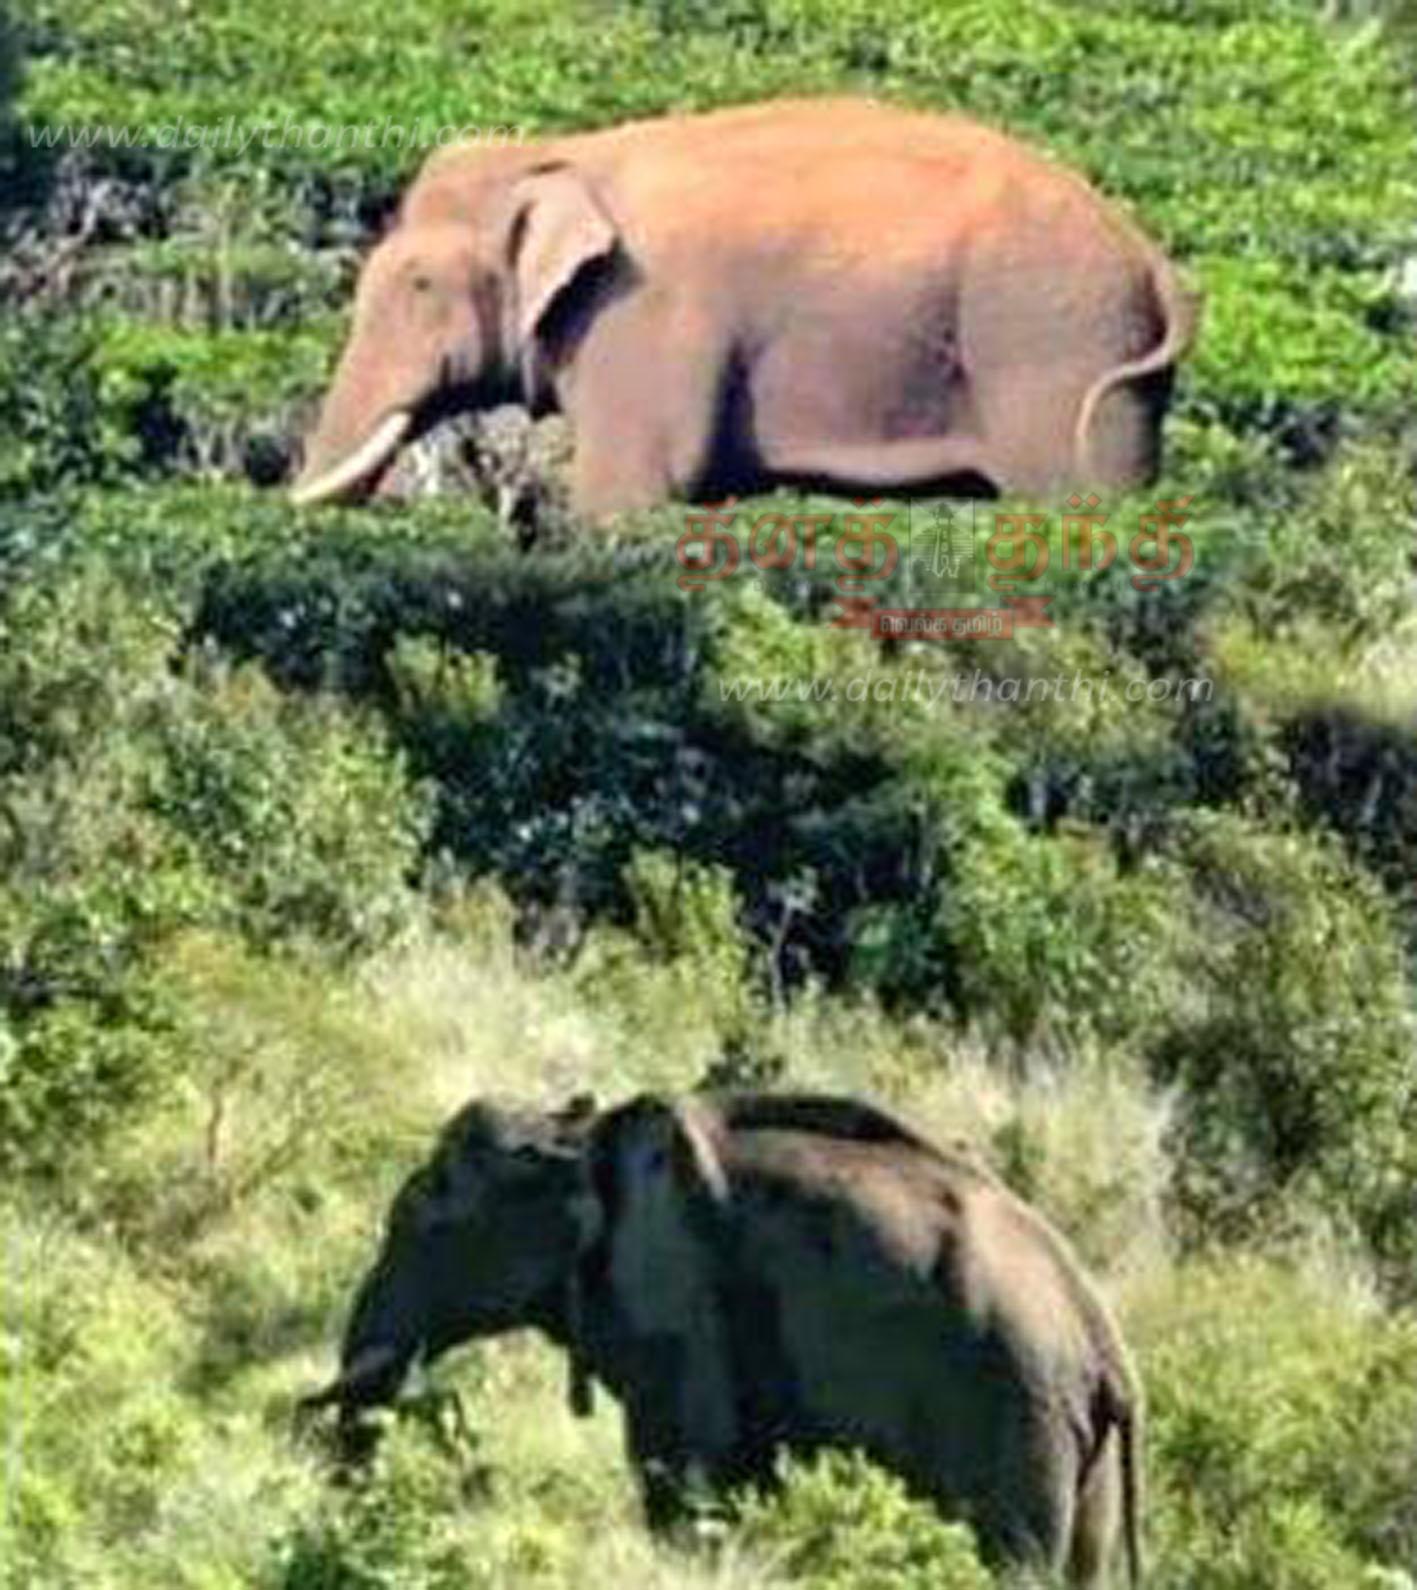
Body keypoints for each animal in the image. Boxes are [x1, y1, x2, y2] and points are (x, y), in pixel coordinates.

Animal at [291, 96, 1198, 522]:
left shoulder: (642, 316)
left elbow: (628, 493)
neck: (565, 153)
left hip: (1053, 347)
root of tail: (1153, 261)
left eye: (417, 285)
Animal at [301, 1088, 1142, 1588]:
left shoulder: (680, 1287)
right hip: (1071, 1439)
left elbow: (683, 1475)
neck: (577, 1132)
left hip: (1015, 1414)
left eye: (425, 1223)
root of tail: (1106, 1350)